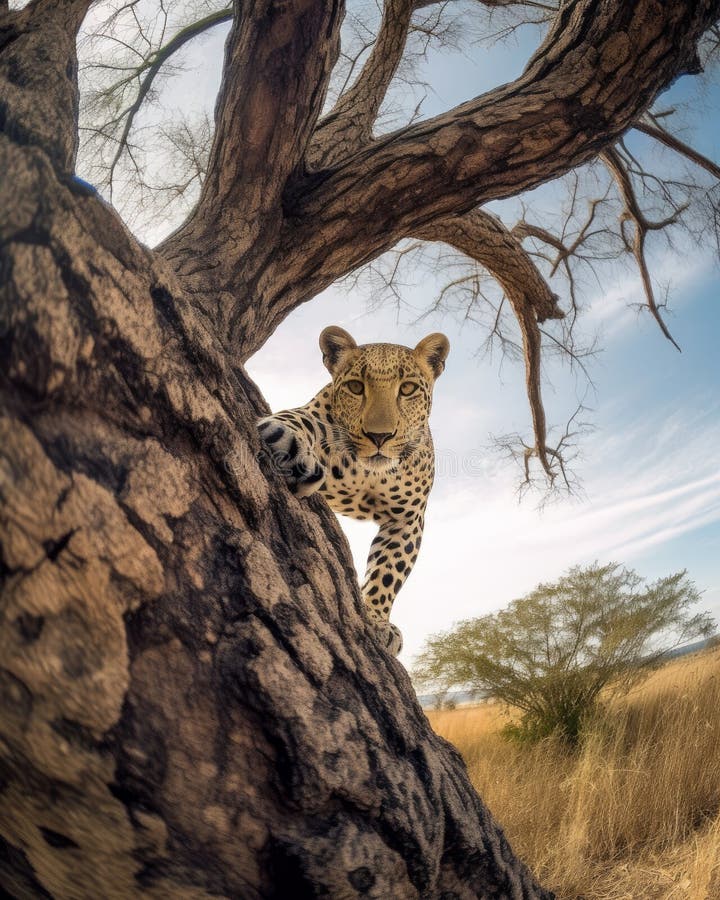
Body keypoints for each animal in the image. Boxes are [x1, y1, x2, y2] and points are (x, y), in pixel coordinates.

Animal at [257, 326, 449, 656]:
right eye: (356, 387)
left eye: (408, 388)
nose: (379, 436)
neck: (368, 473)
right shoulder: (318, 415)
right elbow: (299, 419)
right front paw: (290, 444)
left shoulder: (407, 519)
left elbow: (388, 572)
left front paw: (377, 621)